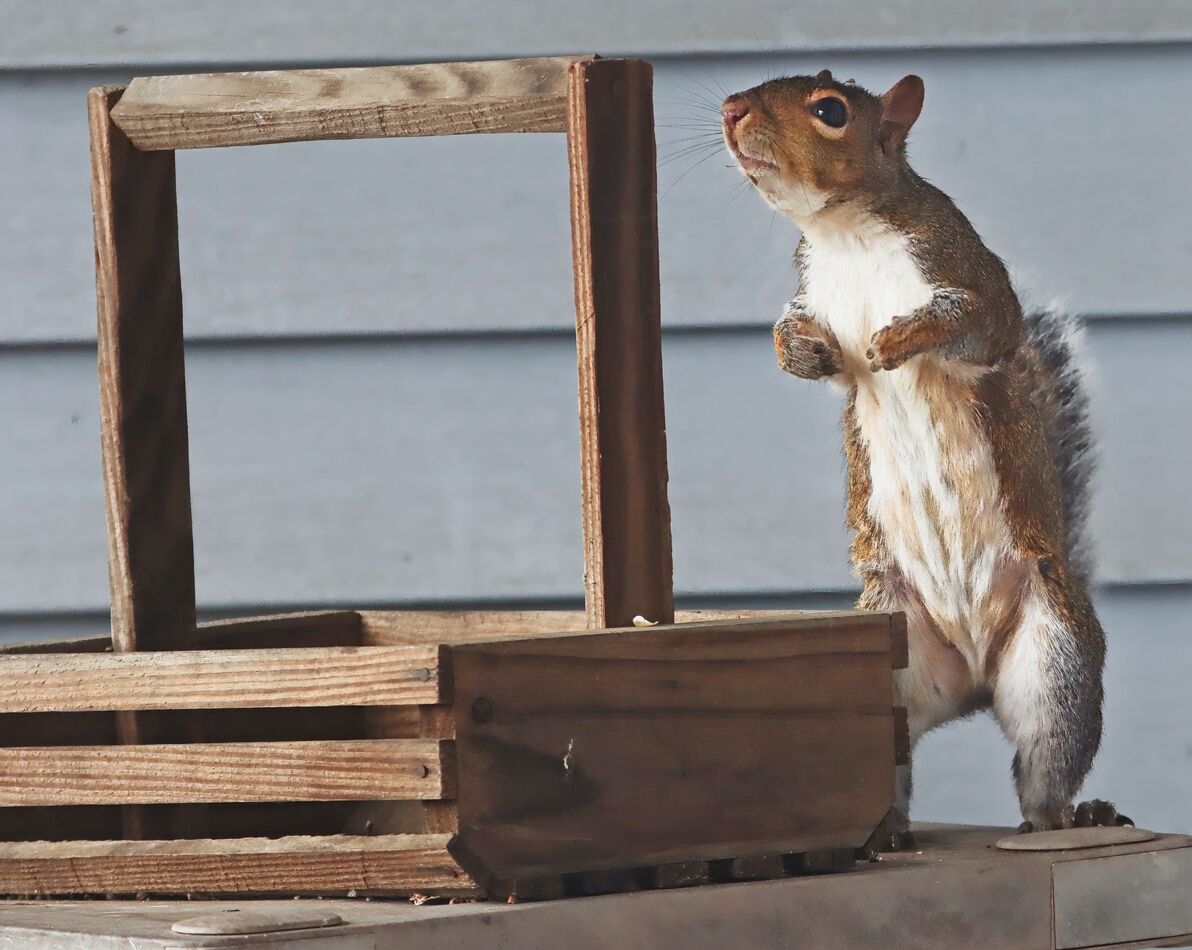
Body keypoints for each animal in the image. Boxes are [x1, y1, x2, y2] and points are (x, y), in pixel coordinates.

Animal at [720, 70, 1129, 835]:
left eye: (830, 110)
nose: (731, 111)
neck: (844, 233)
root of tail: (972, 682)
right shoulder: (810, 295)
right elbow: (798, 345)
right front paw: (805, 352)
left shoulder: (965, 270)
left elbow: (980, 323)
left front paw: (903, 338)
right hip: (881, 670)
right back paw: (887, 831)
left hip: (1054, 661)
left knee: (1044, 768)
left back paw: (1069, 817)